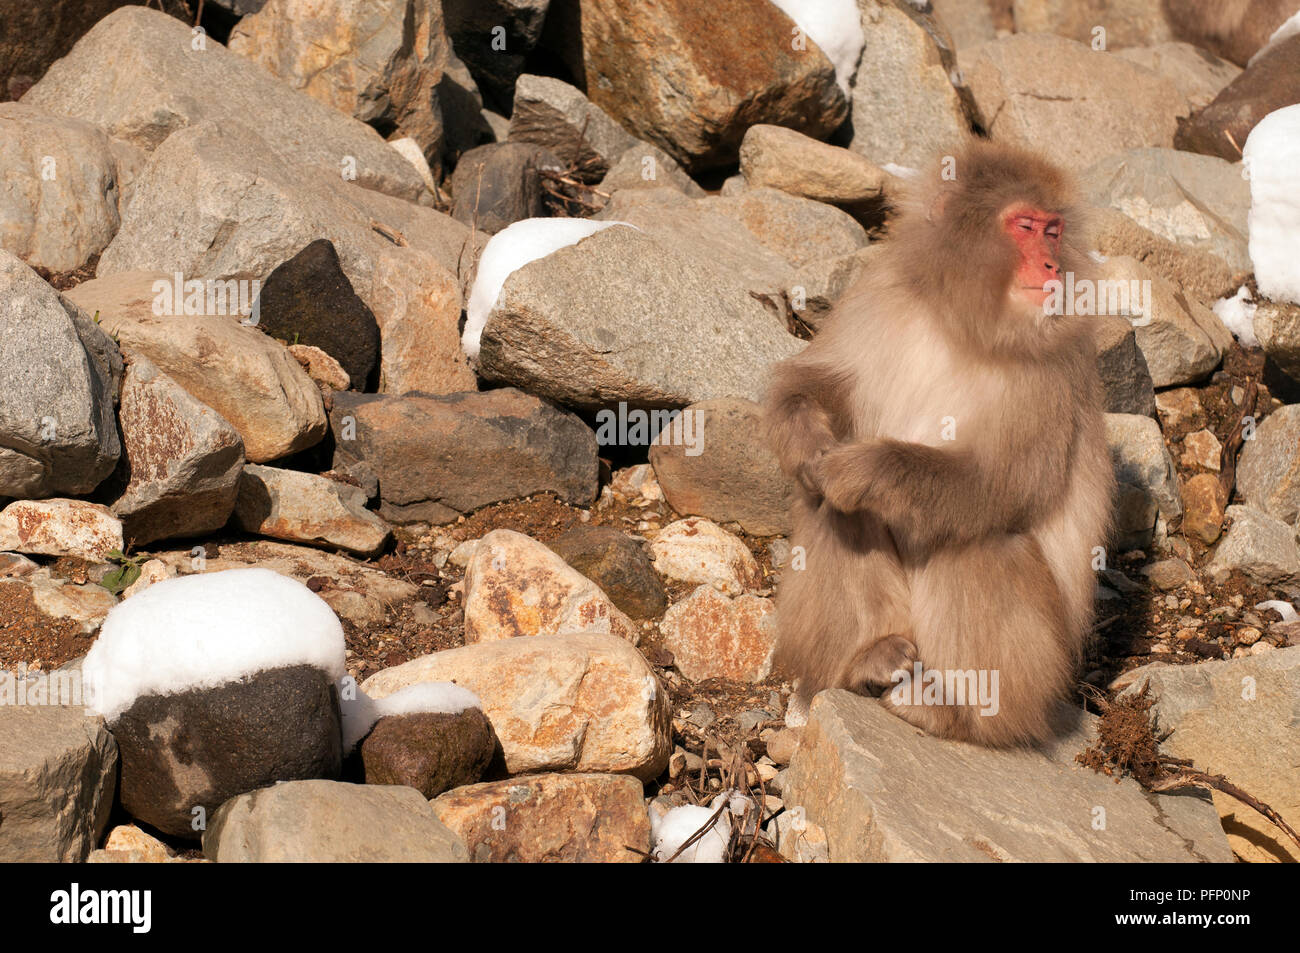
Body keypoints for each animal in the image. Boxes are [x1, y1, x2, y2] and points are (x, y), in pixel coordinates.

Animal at [765, 139, 1115, 747]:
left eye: (1053, 231)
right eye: (1025, 226)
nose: (1052, 265)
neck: (961, 322)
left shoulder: (1049, 370)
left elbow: (1004, 484)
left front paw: (866, 469)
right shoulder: (876, 297)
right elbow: (817, 383)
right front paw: (806, 440)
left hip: (1039, 674)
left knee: (975, 537)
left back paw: (958, 712)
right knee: (831, 510)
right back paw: (869, 658)